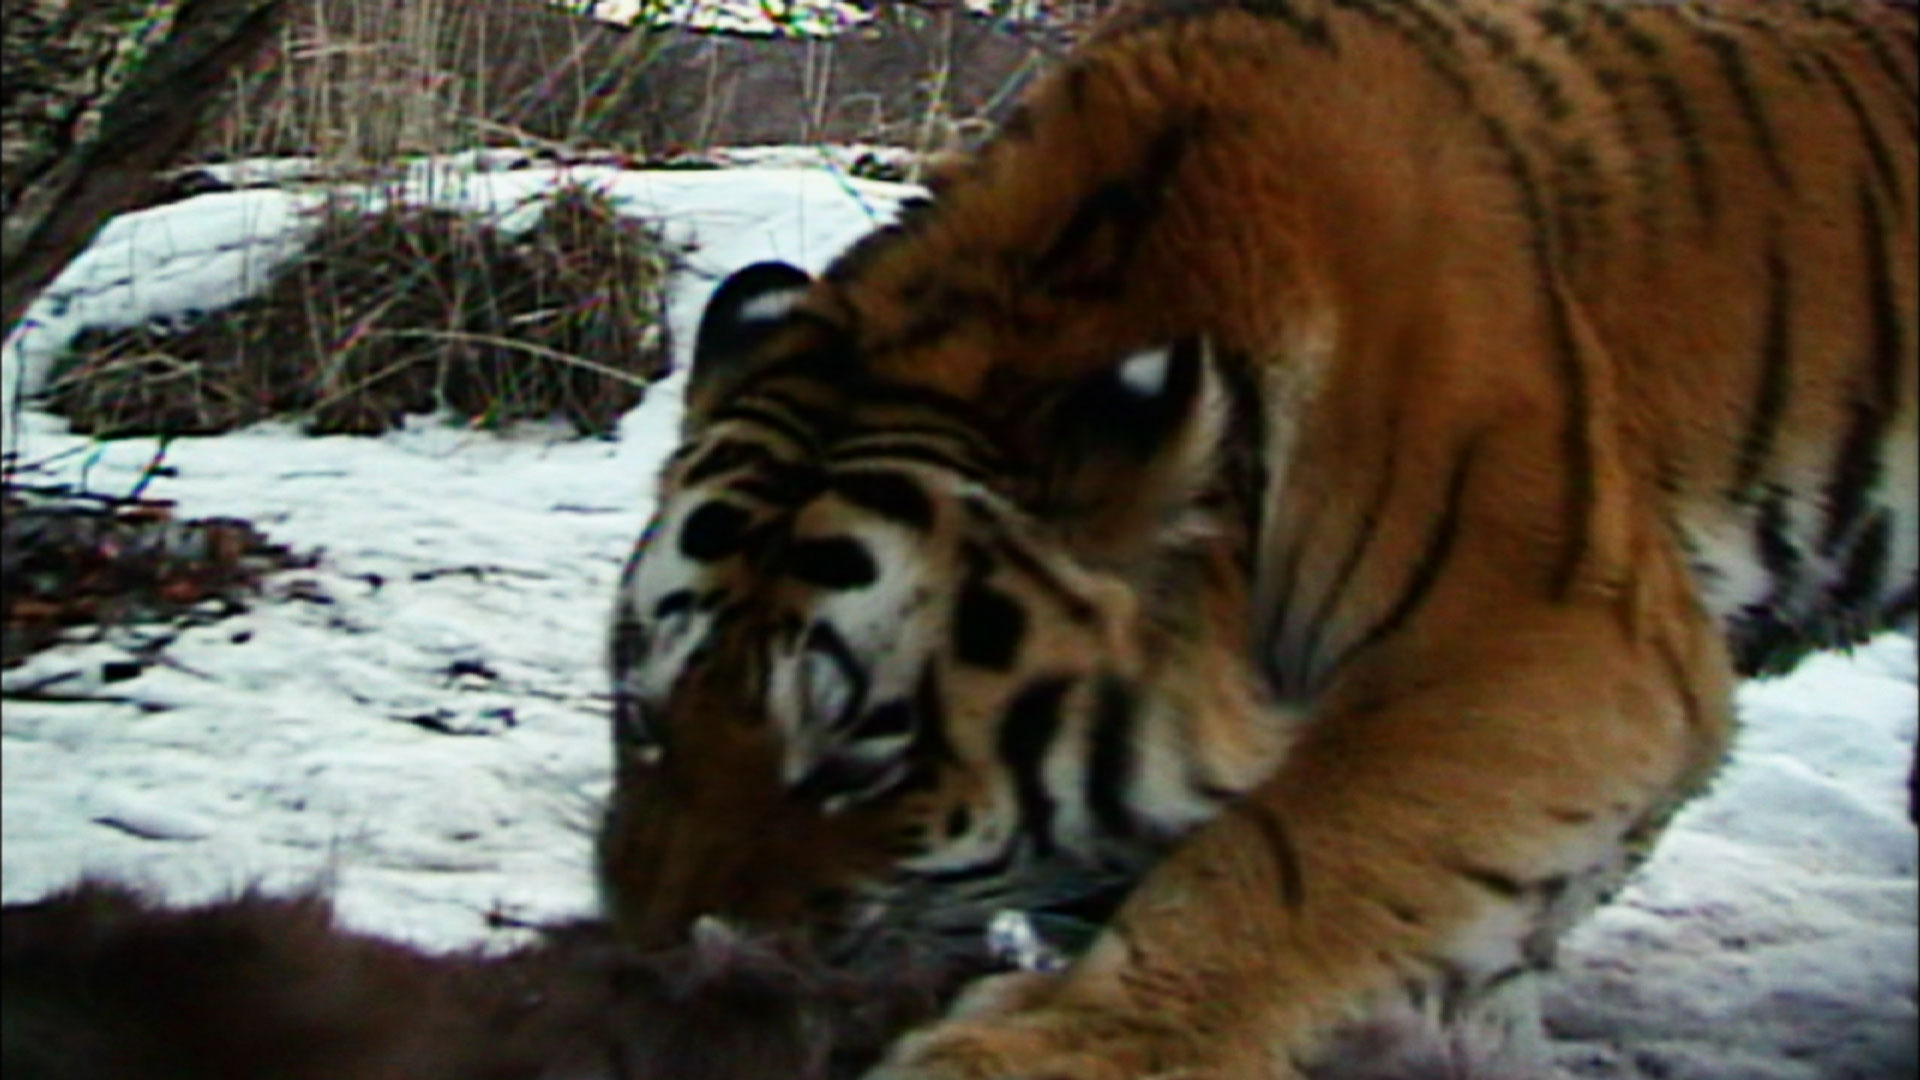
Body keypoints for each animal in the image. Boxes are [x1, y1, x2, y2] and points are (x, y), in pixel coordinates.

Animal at [596, 1, 1918, 1077]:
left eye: (863, 756)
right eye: (646, 715)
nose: (658, 971)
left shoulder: (1559, 643)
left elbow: (1294, 860)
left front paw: (1041, 1049)